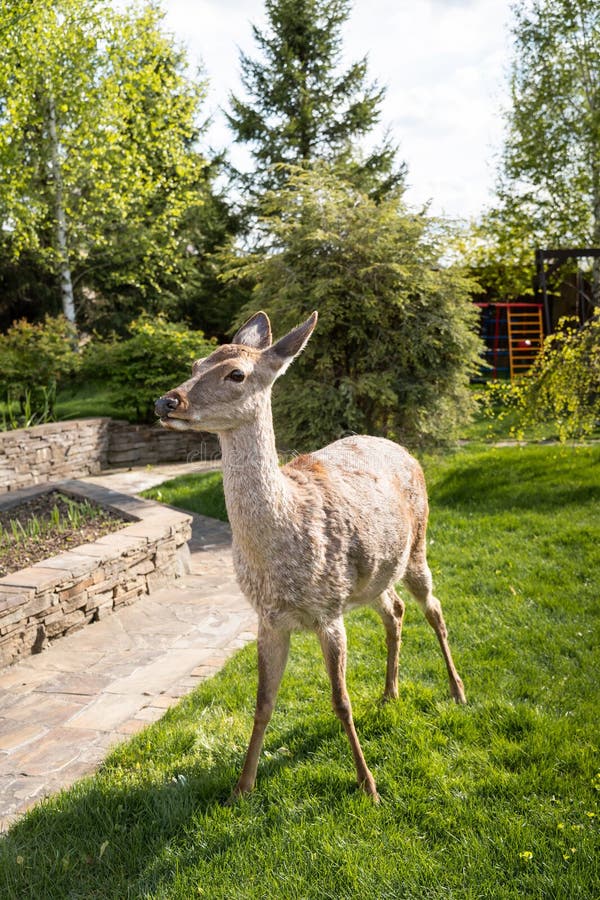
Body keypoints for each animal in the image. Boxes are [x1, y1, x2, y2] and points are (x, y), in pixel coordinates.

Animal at [155, 311, 466, 802]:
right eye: (195, 363)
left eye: (236, 374)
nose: (166, 402)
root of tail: (402, 448)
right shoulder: (268, 618)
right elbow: (263, 703)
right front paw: (242, 787)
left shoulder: (327, 610)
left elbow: (341, 701)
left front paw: (369, 786)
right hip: (374, 575)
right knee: (394, 609)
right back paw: (390, 692)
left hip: (418, 546)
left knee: (434, 610)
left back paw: (457, 691)